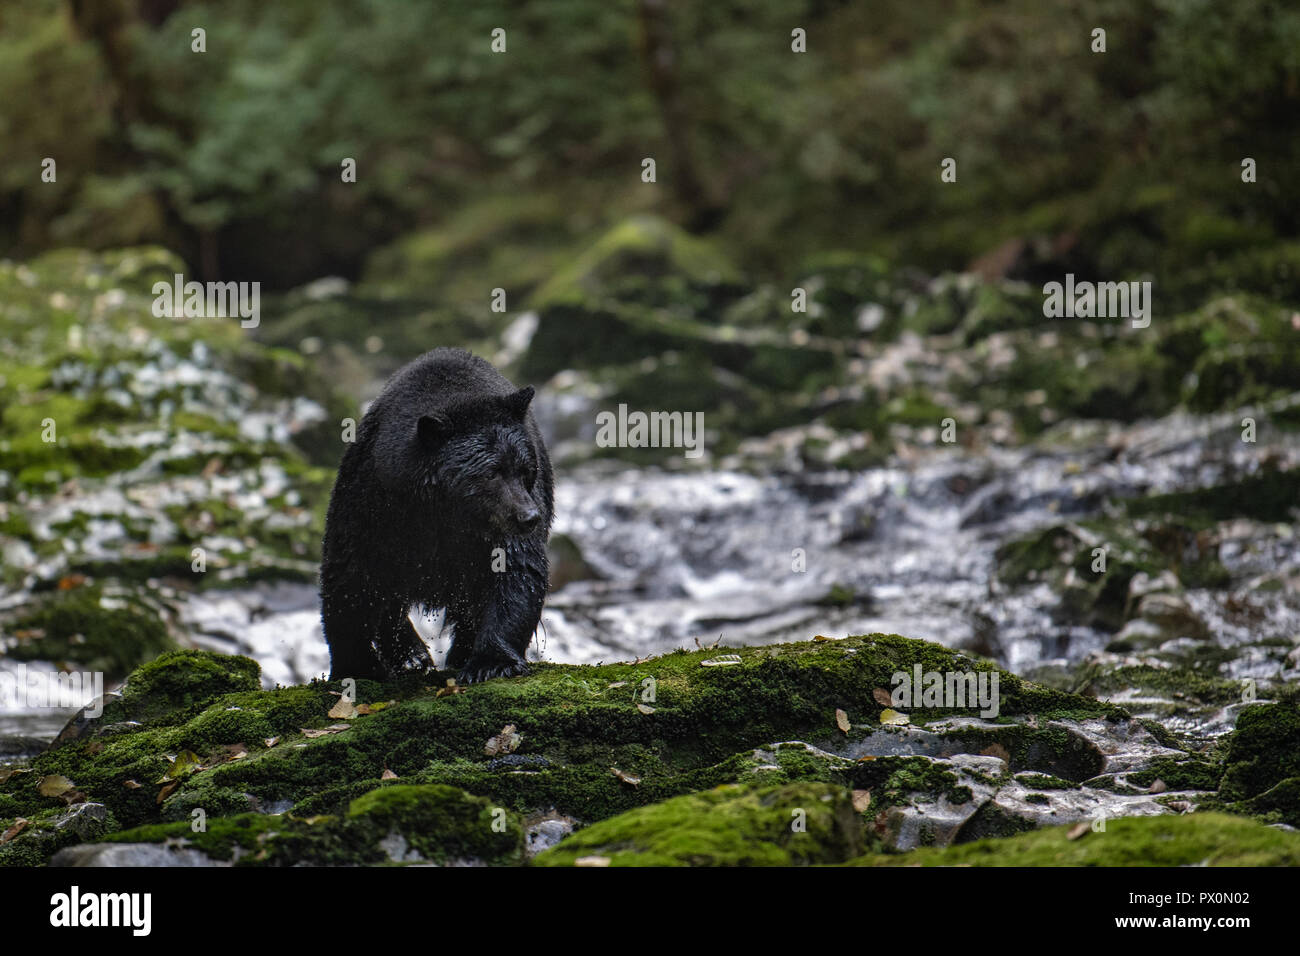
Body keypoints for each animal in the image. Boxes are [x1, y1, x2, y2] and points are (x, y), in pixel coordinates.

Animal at [319, 347, 553, 684]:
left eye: (526, 470)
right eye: (491, 473)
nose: (529, 517)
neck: (444, 512)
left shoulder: (498, 530)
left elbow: (516, 570)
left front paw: (490, 662)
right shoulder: (372, 499)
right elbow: (350, 573)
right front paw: (356, 666)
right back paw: (411, 656)